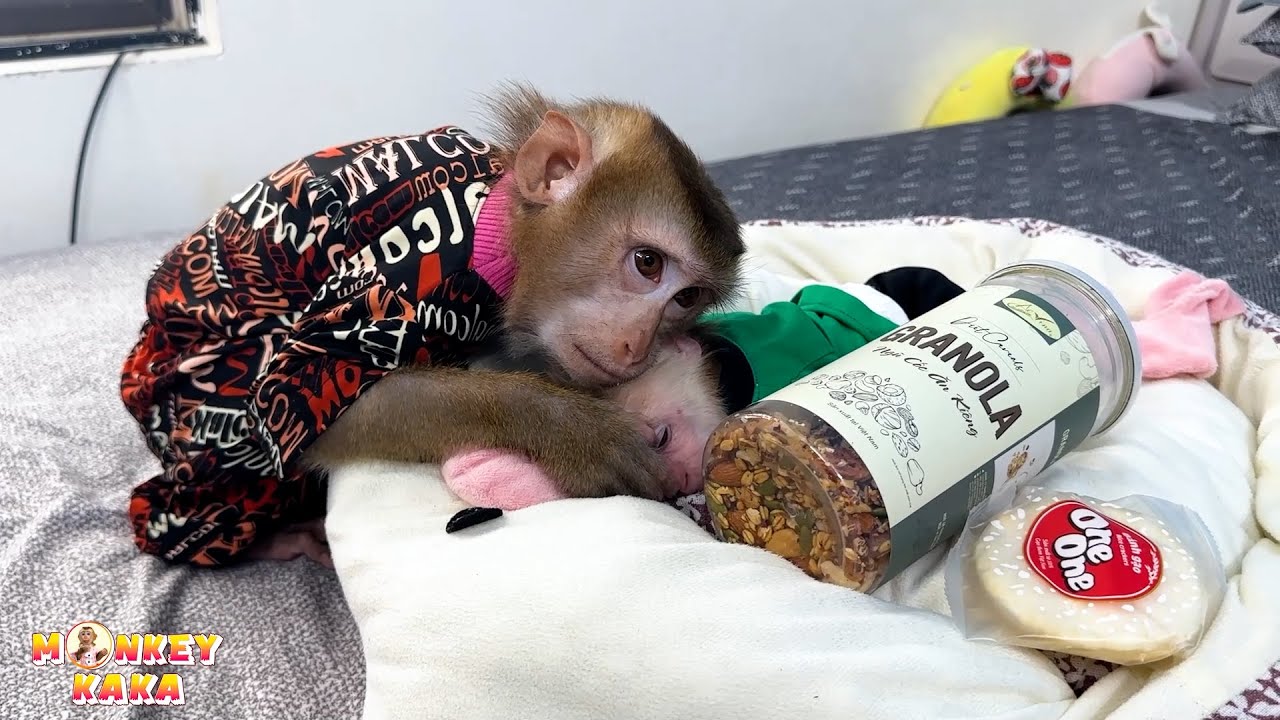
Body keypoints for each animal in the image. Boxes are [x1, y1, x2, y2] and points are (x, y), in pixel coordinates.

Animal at [119, 82, 745, 567]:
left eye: (688, 298)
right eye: (647, 263)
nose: (638, 345)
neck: (497, 231)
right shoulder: (404, 268)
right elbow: (300, 401)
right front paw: (578, 432)